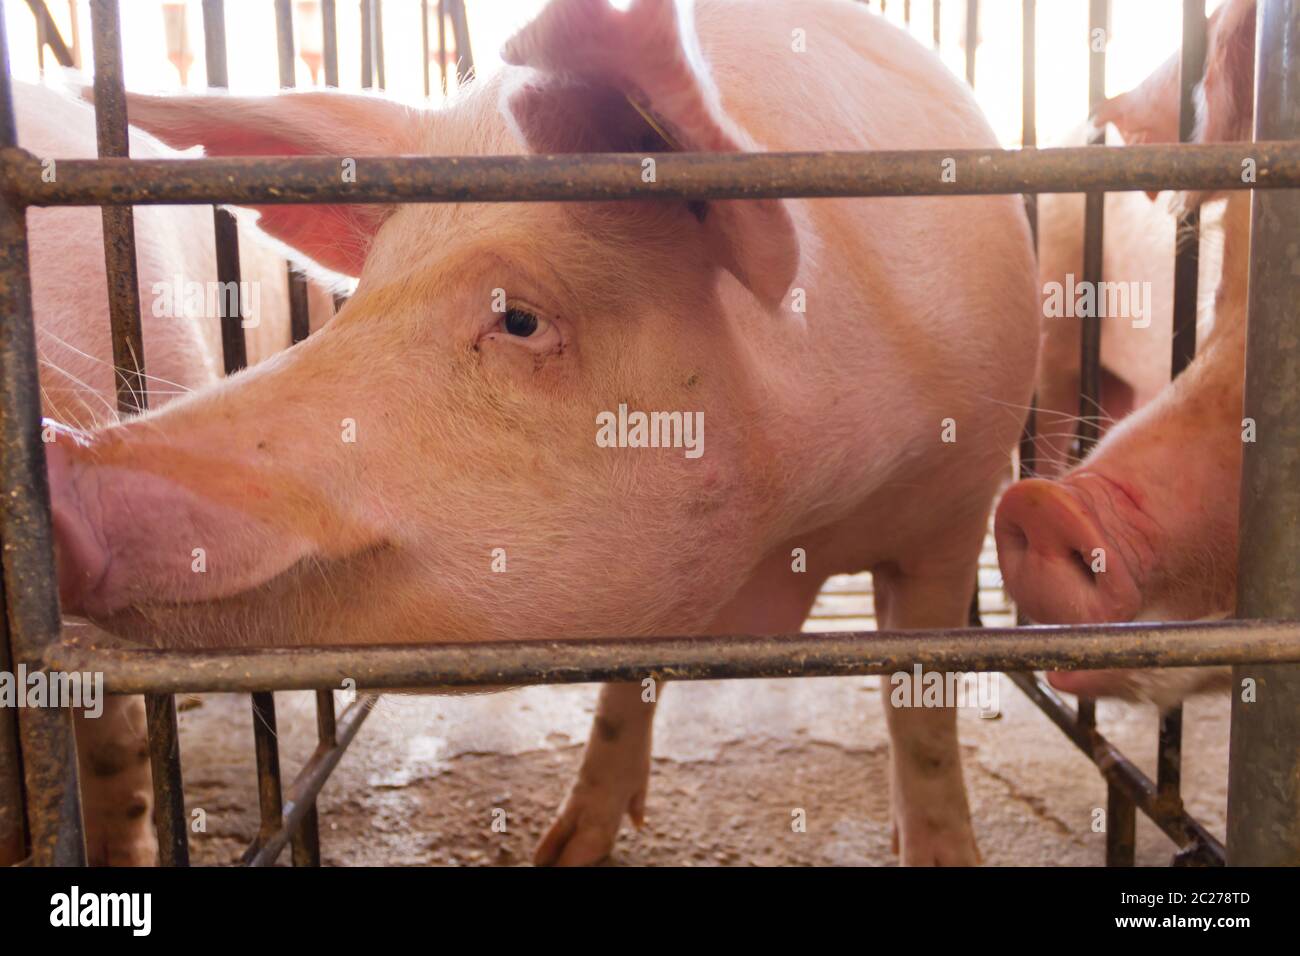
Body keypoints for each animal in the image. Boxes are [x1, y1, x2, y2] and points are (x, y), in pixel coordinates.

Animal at [44, 0, 1039, 865]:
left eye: (519, 319)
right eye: (361, 297)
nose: (61, 451)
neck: (789, 529)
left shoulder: (957, 505)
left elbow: (924, 713)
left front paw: (947, 855)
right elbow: (620, 690)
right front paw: (561, 854)